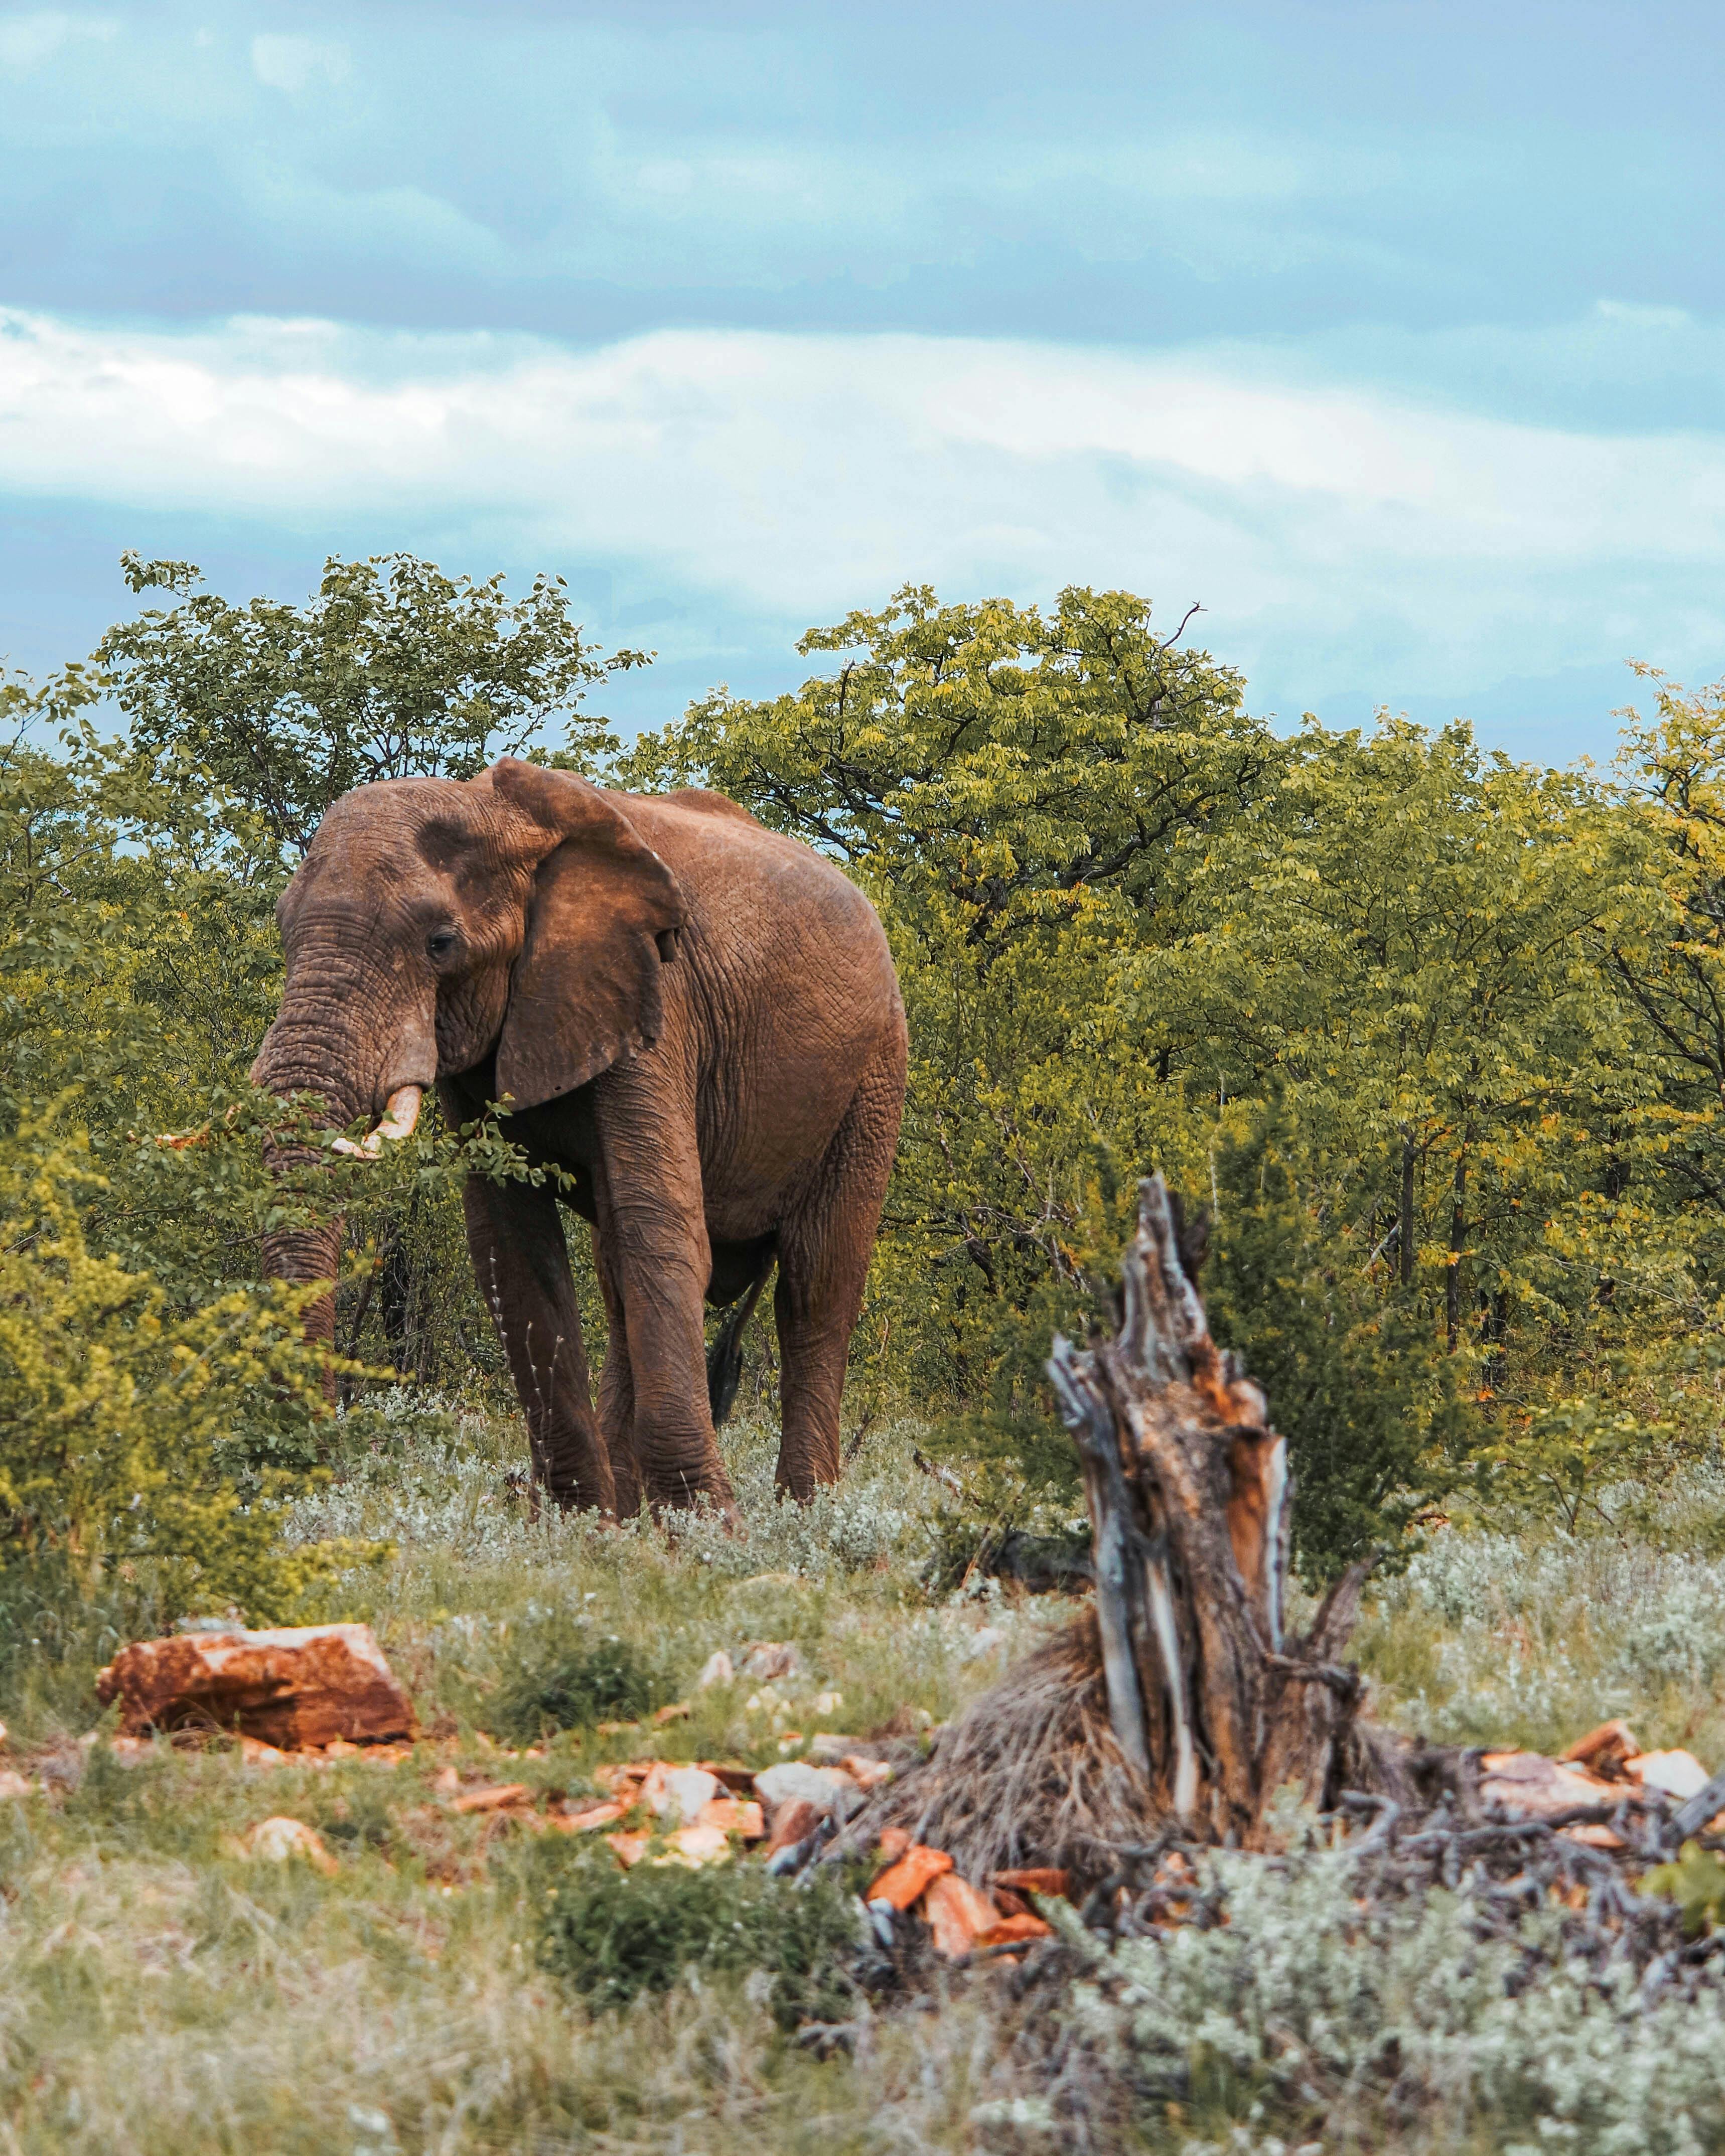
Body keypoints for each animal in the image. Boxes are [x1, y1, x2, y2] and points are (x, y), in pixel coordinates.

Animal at [250, 757, 907, 1515]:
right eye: (283, 929)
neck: (501, 812)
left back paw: (807, 1511)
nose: (320, 1479)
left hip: (874, 1072)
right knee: (618, 1273)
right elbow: (511, 1246)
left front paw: (708, 1525)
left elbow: (661, 1227)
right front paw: (584, 1522)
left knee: (816, 1286)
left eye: (441, 943)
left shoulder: (658, 998)